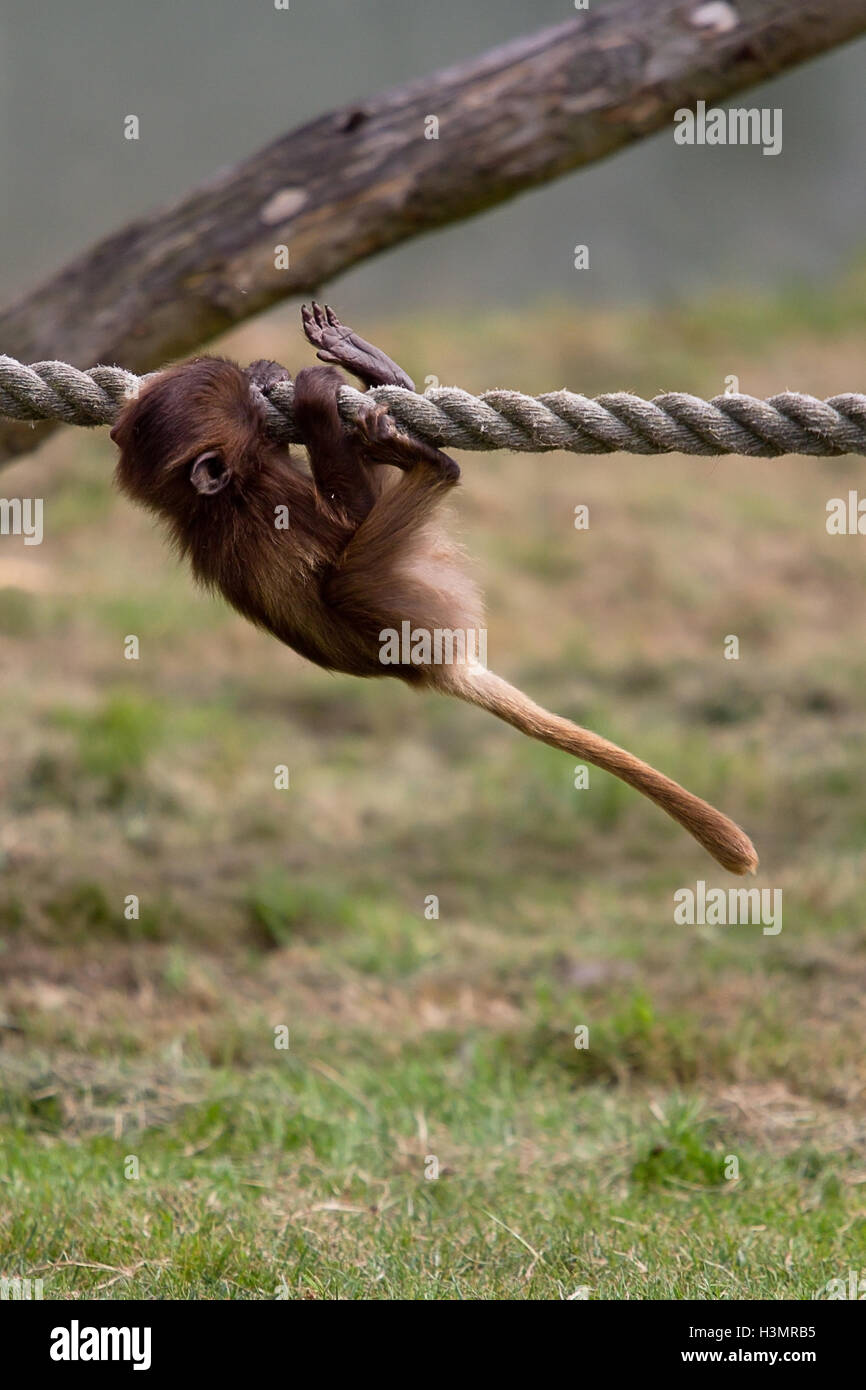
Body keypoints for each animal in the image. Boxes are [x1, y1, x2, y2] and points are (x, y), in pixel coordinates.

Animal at [110, 303, 758, 876]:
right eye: (243, 408)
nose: (253, 383)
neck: (215, 501)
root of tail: (439, 668)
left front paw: (289, 376)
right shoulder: (270, 507)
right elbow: (351, 517)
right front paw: (316, 405)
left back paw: (379, 378)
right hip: (411, 603)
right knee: (350, 577)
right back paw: (427, 462)